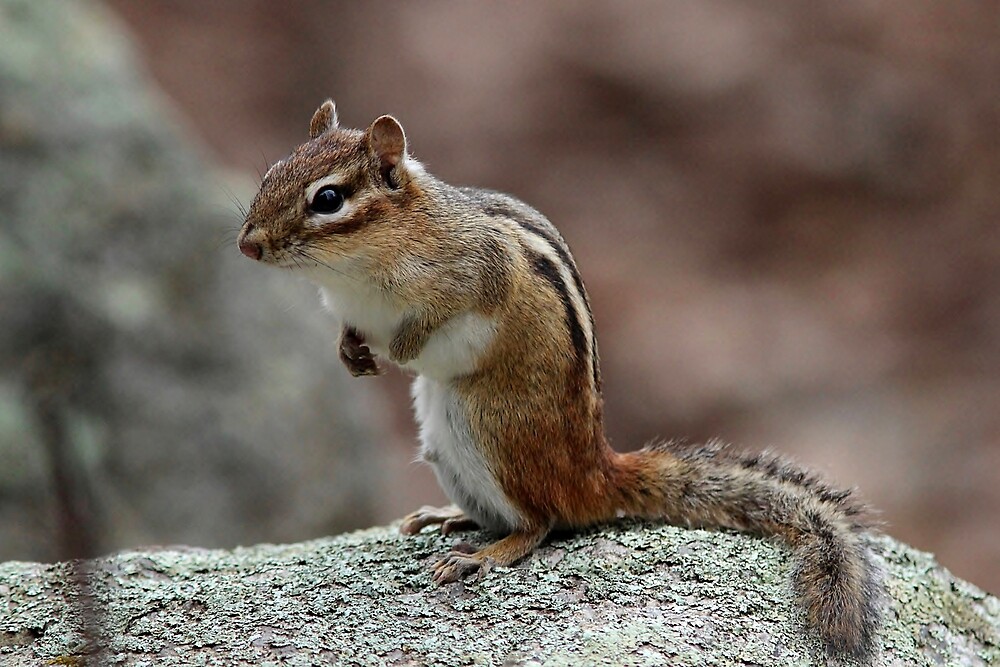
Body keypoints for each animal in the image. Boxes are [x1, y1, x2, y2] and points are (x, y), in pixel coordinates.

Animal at [237, 100, 882, 660]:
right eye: (271, 172)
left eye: (328, 198)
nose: (248, 245)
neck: (356, 269)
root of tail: (594, 469)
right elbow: (348, 331)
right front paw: (351, 352)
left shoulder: (474, 273)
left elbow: (431, 323)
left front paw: (397, 350)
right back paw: (453, 518)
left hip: (485, 426)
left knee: (542, 522)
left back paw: (485, 555)